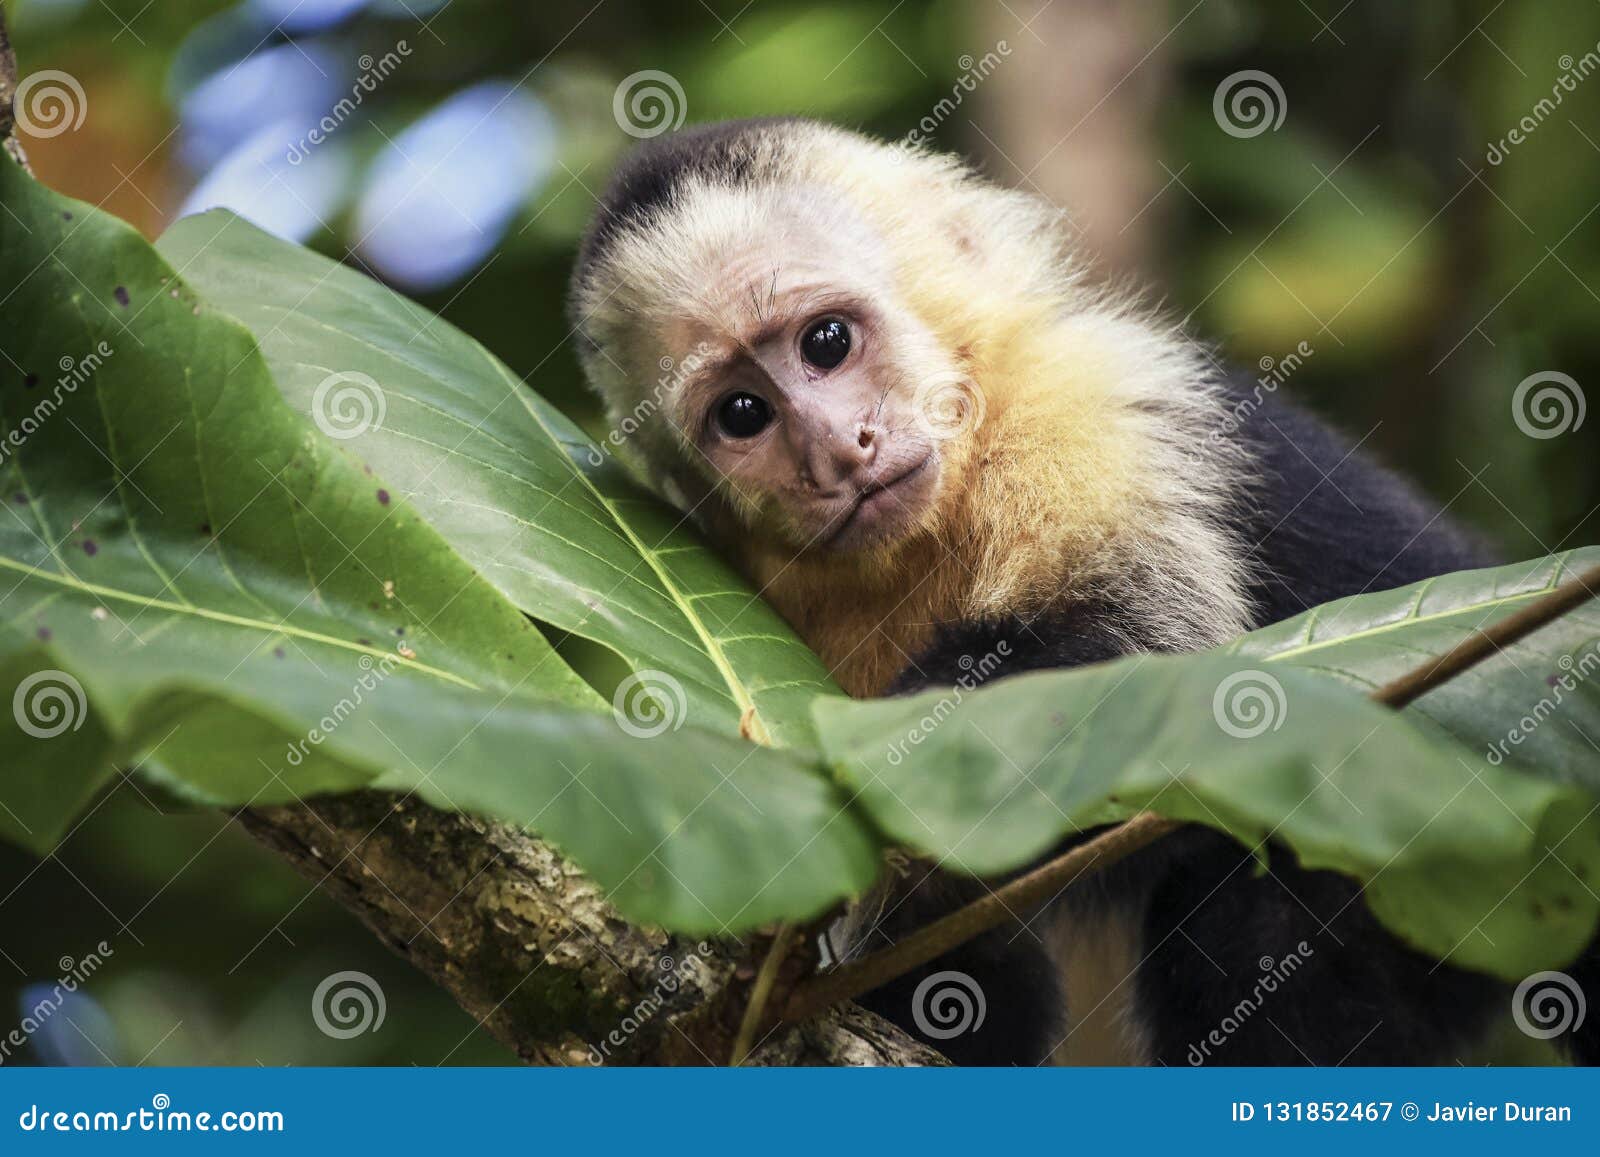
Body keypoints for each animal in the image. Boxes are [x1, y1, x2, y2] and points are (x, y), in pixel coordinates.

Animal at [568, 117, 1596, 1067]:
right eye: (742, 414)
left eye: (826, 342)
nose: (835, 451)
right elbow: (966, 977)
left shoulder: (1080, 405)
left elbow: (1158, 651)